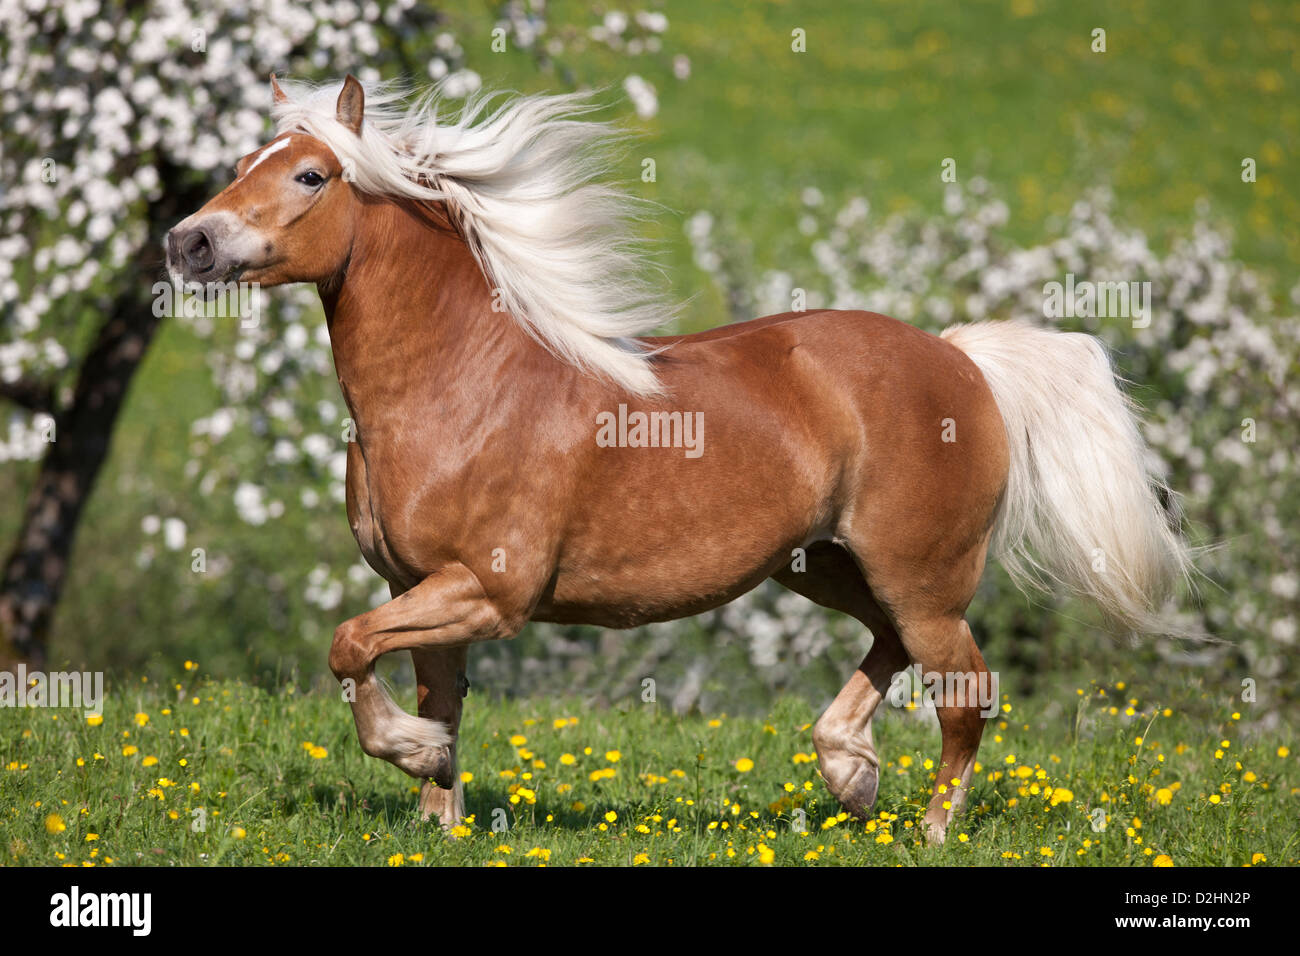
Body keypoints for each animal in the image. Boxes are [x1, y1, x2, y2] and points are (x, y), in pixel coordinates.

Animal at [166, 75, 1193, 844]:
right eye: (242, 165)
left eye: (309, 175)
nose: (188, 242)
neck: (465, 386)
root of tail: (962, 361)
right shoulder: (419, 588)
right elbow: (433, 694)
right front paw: (436, 810)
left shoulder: (488, 593)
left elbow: (349, 649)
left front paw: (414, 754)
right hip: (827, 566)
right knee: (893, 647)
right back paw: (848, 771)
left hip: (919, 575)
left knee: (966, 694)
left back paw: (930, 827)